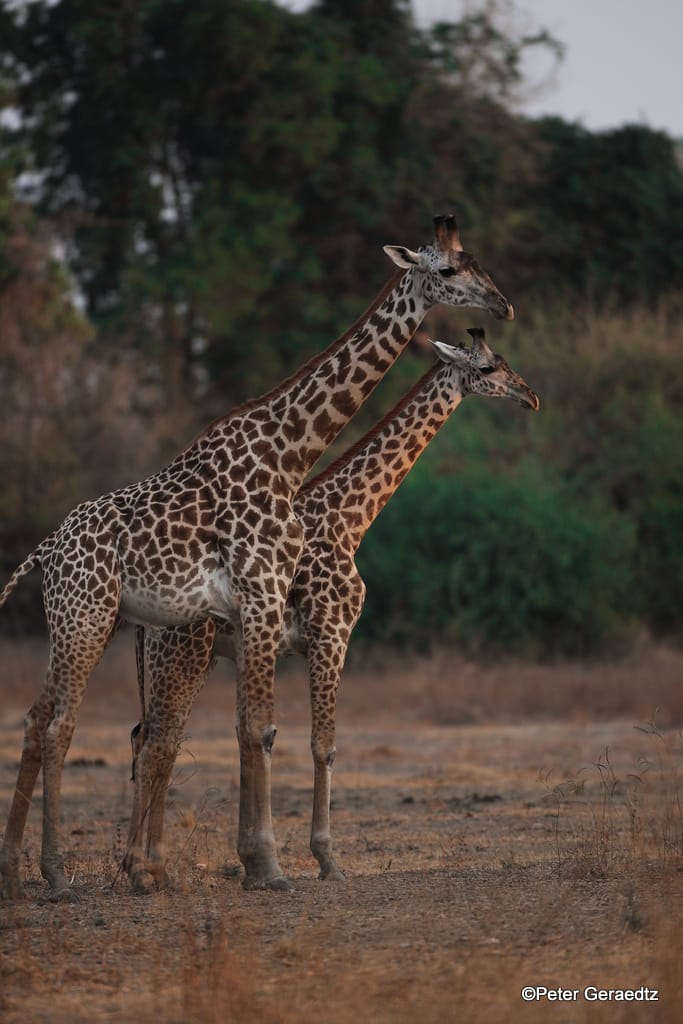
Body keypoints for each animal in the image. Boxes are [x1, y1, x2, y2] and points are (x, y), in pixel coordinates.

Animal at [126, 330, 539, 891]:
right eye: (491, 367)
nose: (529, 396)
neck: (350, 518)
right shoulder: (332, 633)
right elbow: (322, 743)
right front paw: (326, 860)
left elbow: (248, 736)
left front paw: (255, 863)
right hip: (184, 650)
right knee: (159, 742)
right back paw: (146, 870)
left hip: (180, 655)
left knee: (149, 739)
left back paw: (142, 867)